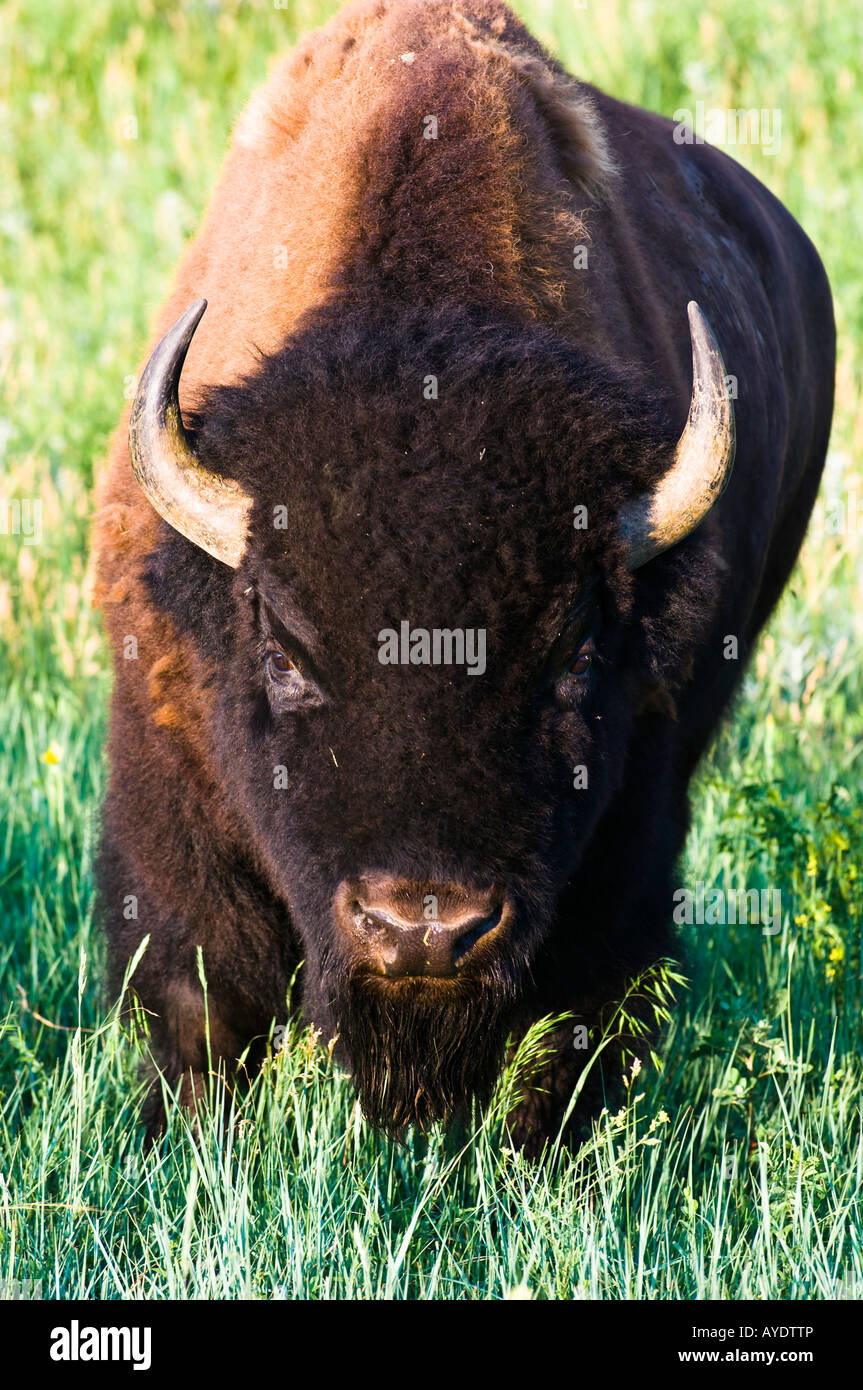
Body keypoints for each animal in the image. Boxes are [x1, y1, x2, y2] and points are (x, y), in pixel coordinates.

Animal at [95, 0, 834, 1146]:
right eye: (284, 652)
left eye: (576, 657)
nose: (422, 930)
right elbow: (202, 1008)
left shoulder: (632, 822)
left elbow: (571, 1036)